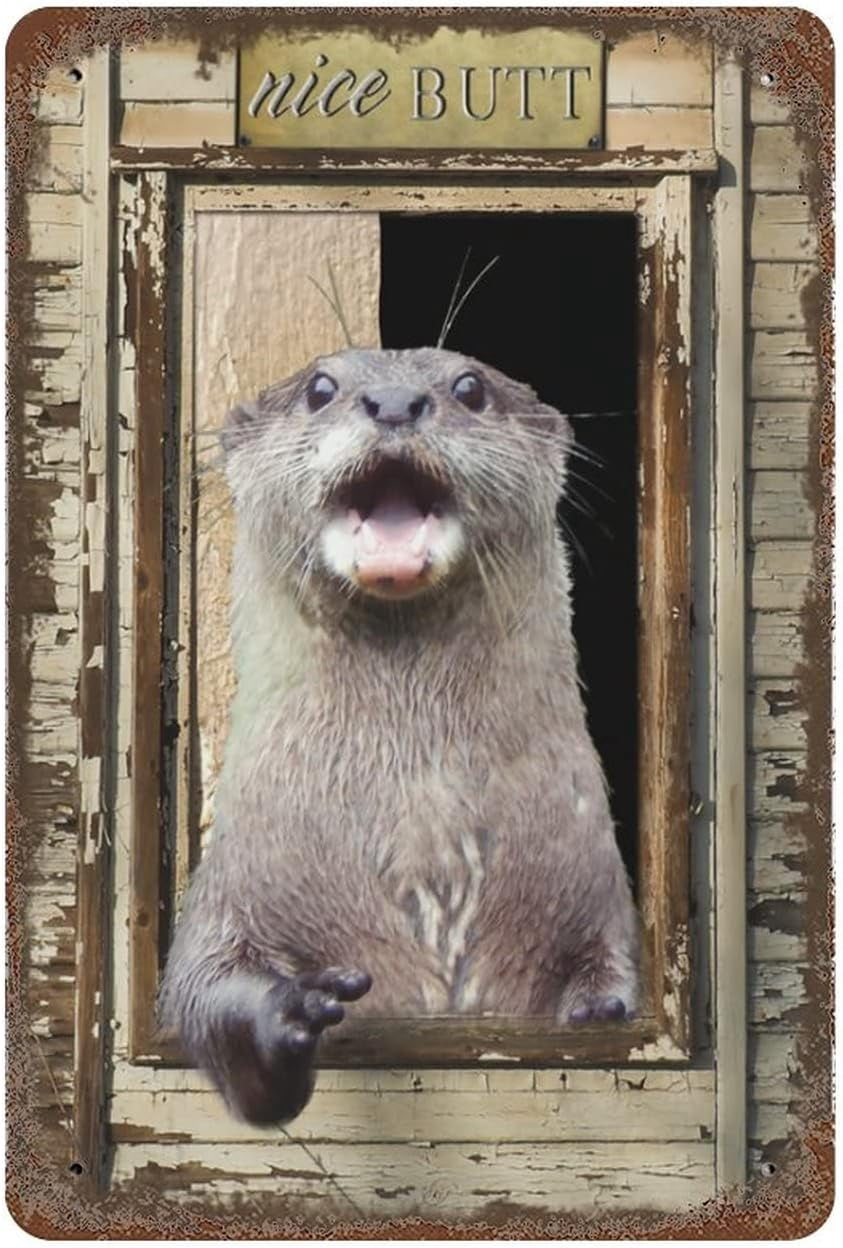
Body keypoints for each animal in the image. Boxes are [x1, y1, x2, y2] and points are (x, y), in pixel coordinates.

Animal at [159, 347, 639, 1125]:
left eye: (470, 386)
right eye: (320, 387)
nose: (392, 402)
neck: (424, 834)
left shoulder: (595, 894)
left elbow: (610, 964)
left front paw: (600, 1011)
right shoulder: (234, 887)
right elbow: (200, 991)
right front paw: (287, 1009)